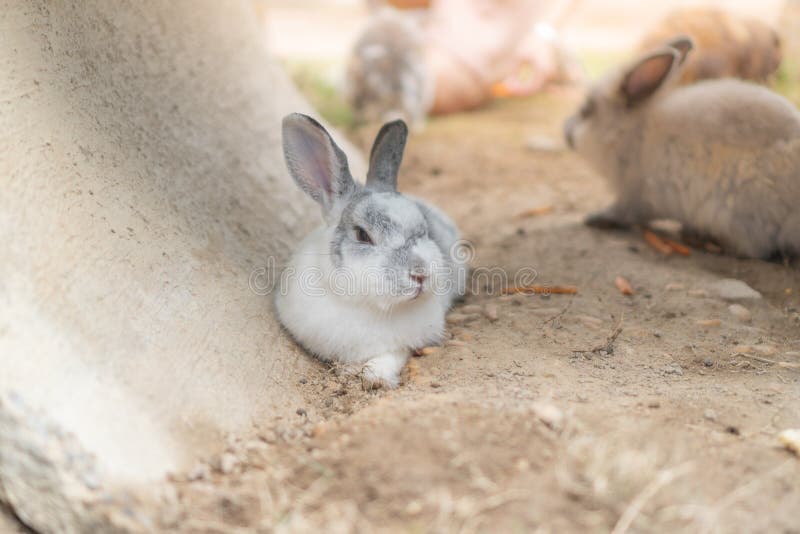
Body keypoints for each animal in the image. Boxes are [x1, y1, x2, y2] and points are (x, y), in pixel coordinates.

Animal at [276, 113, 467, 388]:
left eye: (424, 229)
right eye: (362, 235)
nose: (420, 274)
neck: (366, 305)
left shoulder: (402, 345)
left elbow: (390, 357)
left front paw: (375, 377)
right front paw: (349, 371)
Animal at [564, 37, 800, 260]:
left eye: (586, 111)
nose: (565, 131)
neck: (629, 134)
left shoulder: (634, 196)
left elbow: (622, 213)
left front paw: (595, 218)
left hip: (733, 210)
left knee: (753, 250)